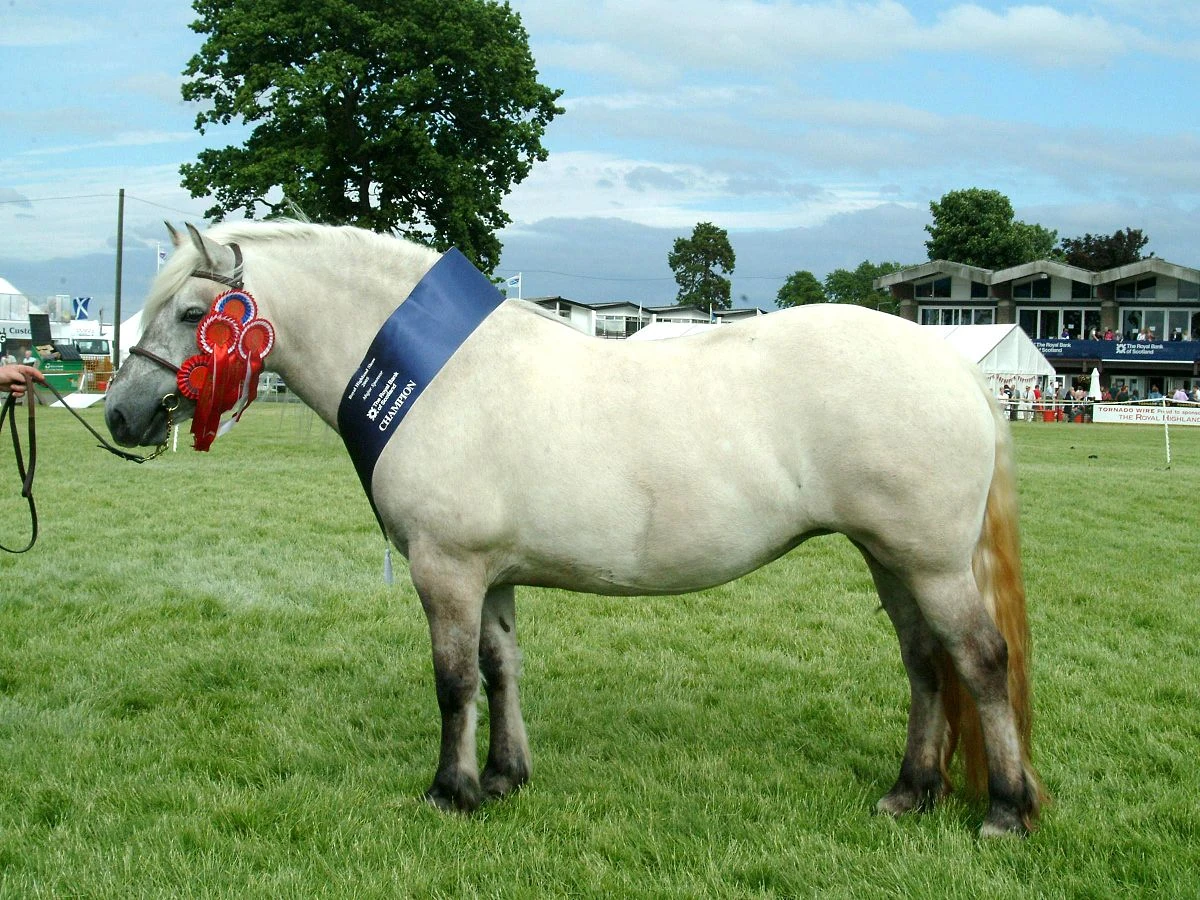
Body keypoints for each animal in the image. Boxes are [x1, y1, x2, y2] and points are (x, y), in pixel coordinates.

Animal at [105, 221, 1044, 836]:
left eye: (192, 315)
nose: (120, 414)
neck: (437, 376)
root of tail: (958, 372)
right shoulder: (491, 575)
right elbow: (501, 669)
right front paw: (504, 778)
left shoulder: (446, 569)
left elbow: (454, 682)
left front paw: (450, 792)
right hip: (891, 559)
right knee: (925, 664)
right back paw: (911, 791)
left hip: (930, 563)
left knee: (979, 661)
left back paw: (1004, 809)